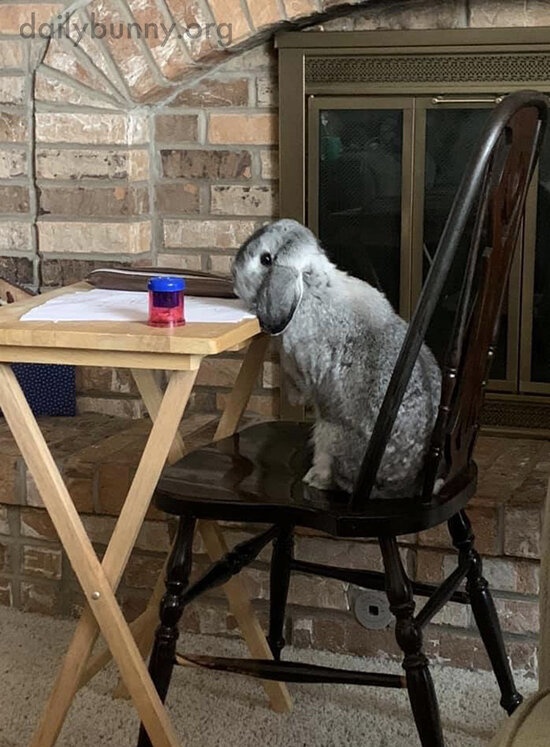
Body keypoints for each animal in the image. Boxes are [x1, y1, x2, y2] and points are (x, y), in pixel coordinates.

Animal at [232, 218, 441, 498]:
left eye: (266, 259)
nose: (234, 271)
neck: (309, 288)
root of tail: (403, 484)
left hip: (329, 433)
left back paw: (315, 479)